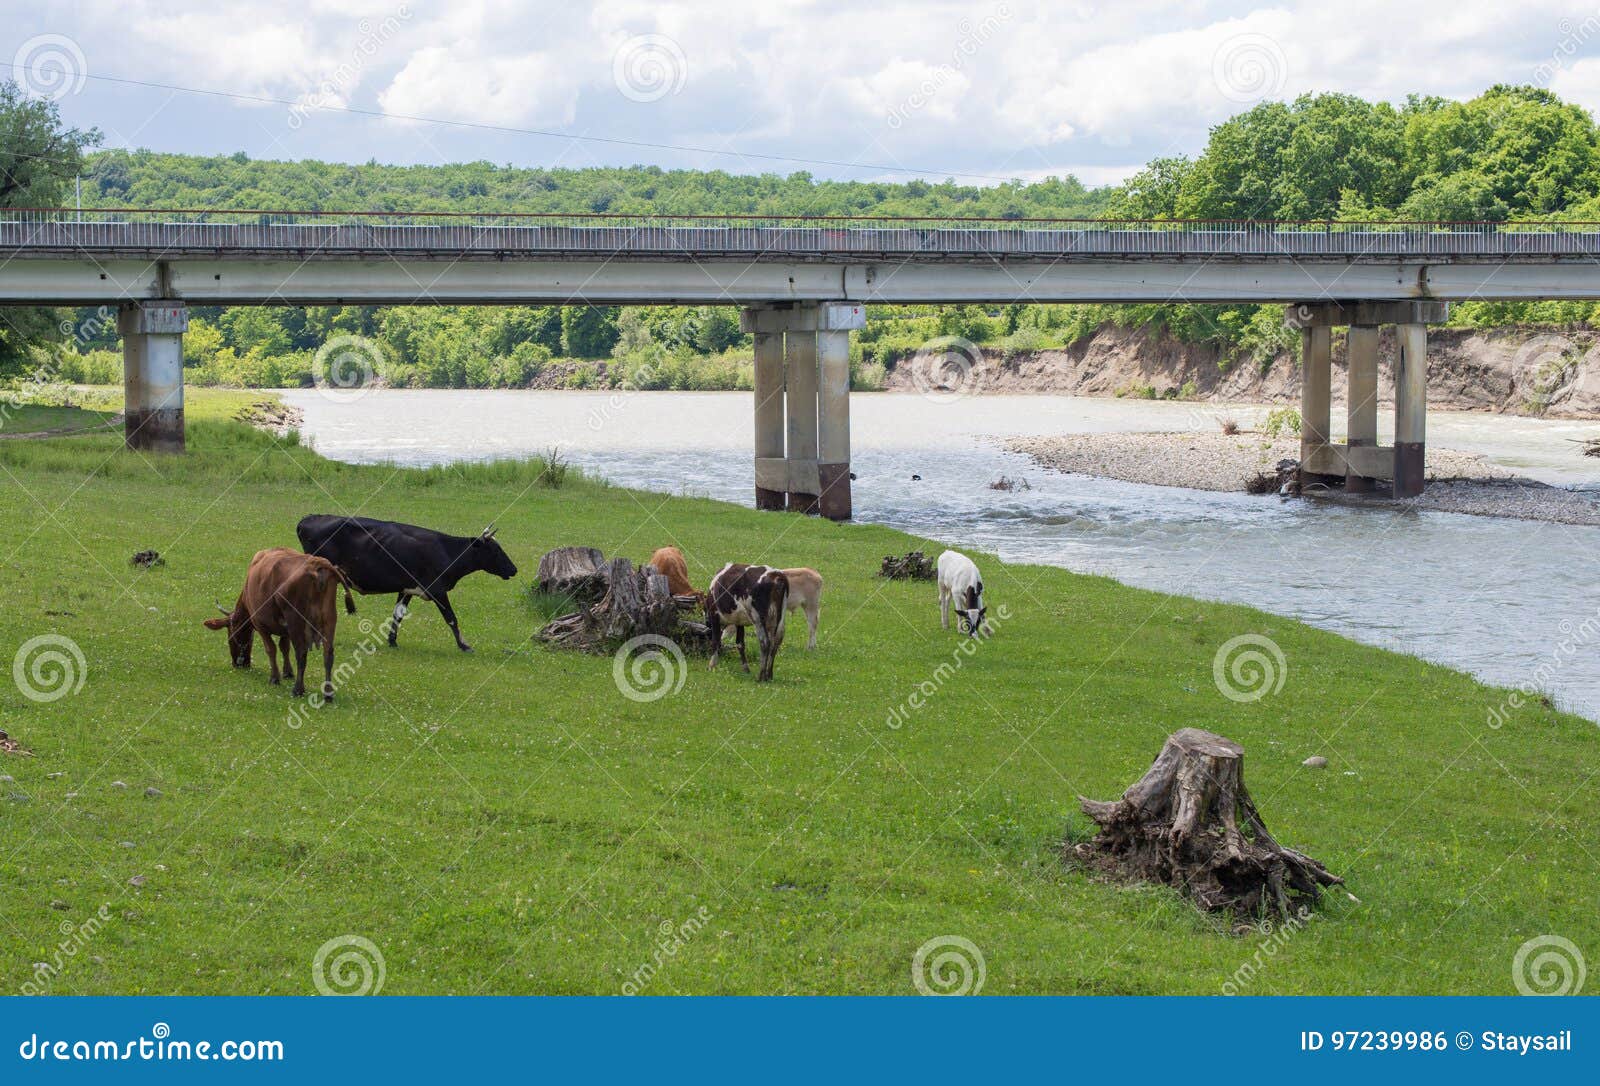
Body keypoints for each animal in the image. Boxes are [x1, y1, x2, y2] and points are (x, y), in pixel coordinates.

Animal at [203, 548, 350, 699]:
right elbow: (284, 647)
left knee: (301, 652)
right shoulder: (286, 629)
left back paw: (298, 689)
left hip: (295, 619)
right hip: (329, 618)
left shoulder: (260, 624)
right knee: (328, 654)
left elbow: (271, 649)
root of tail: (316, 563)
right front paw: (288, 672)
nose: (239, 664)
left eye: (231, 636)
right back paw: (328, 693)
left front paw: (275, 678)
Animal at [295, 514, 518, 652]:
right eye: (495, 550)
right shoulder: (437, 590)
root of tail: (308, 519)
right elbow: (451, 618)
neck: (447, 551)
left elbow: (398, 615)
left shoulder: (407, 588)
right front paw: (464, 645)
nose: (514, 569)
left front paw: (392, 641)